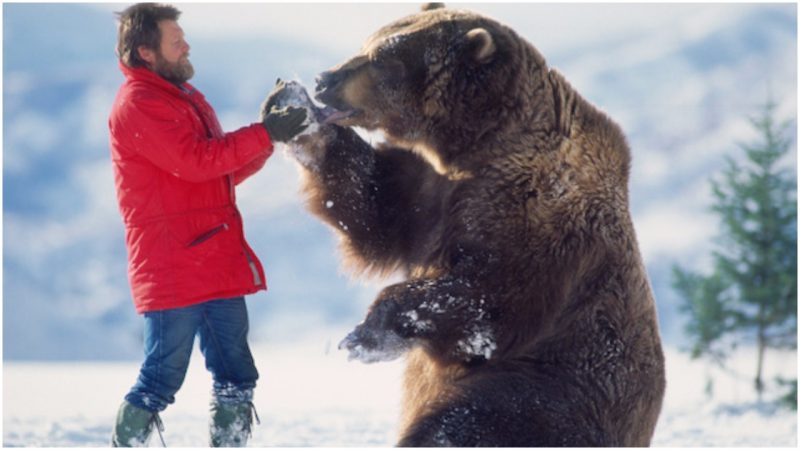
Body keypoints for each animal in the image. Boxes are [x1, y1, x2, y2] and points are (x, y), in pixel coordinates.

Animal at [265, 4, 666, 447]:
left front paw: (368, 332)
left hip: (546, 392)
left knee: (461, 423)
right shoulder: (427, 188)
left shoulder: (537, 209)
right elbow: (373, 206)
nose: (325, 79)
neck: (476, 145)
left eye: (384, 59)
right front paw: (296, 112)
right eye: (368, 42)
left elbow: (490, 295)